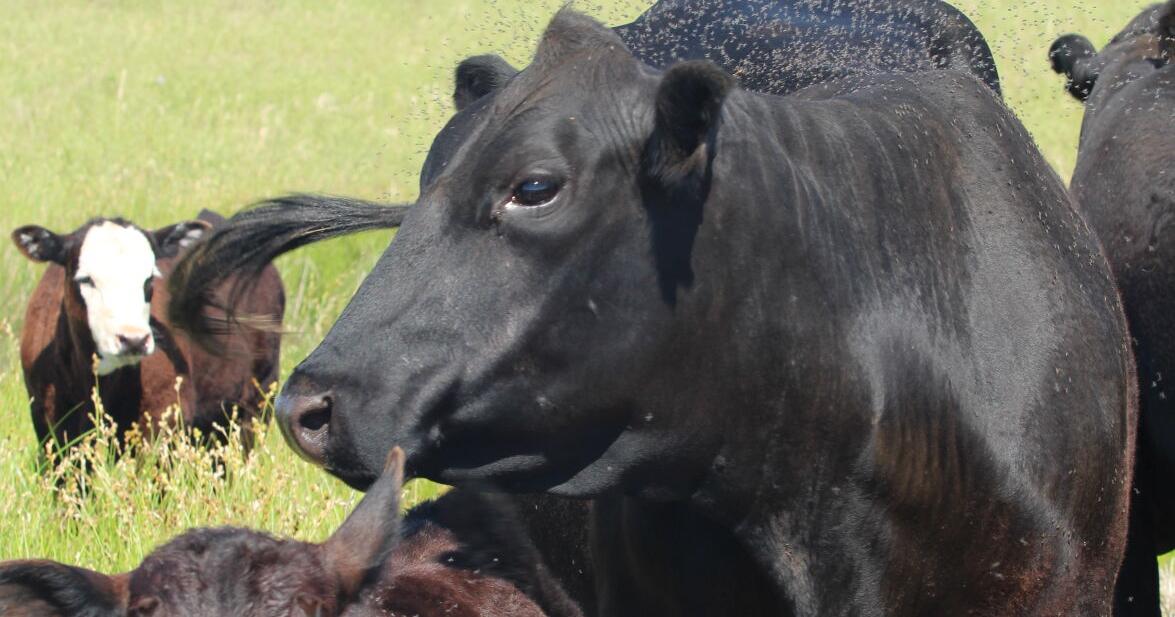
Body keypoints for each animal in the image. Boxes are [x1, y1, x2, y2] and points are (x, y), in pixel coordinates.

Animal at [11, 210, 284, 453]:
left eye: (149, 279)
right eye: (86, 279)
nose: (133, 340)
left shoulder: (163, 421)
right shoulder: (52, 426)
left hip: (256, 405)